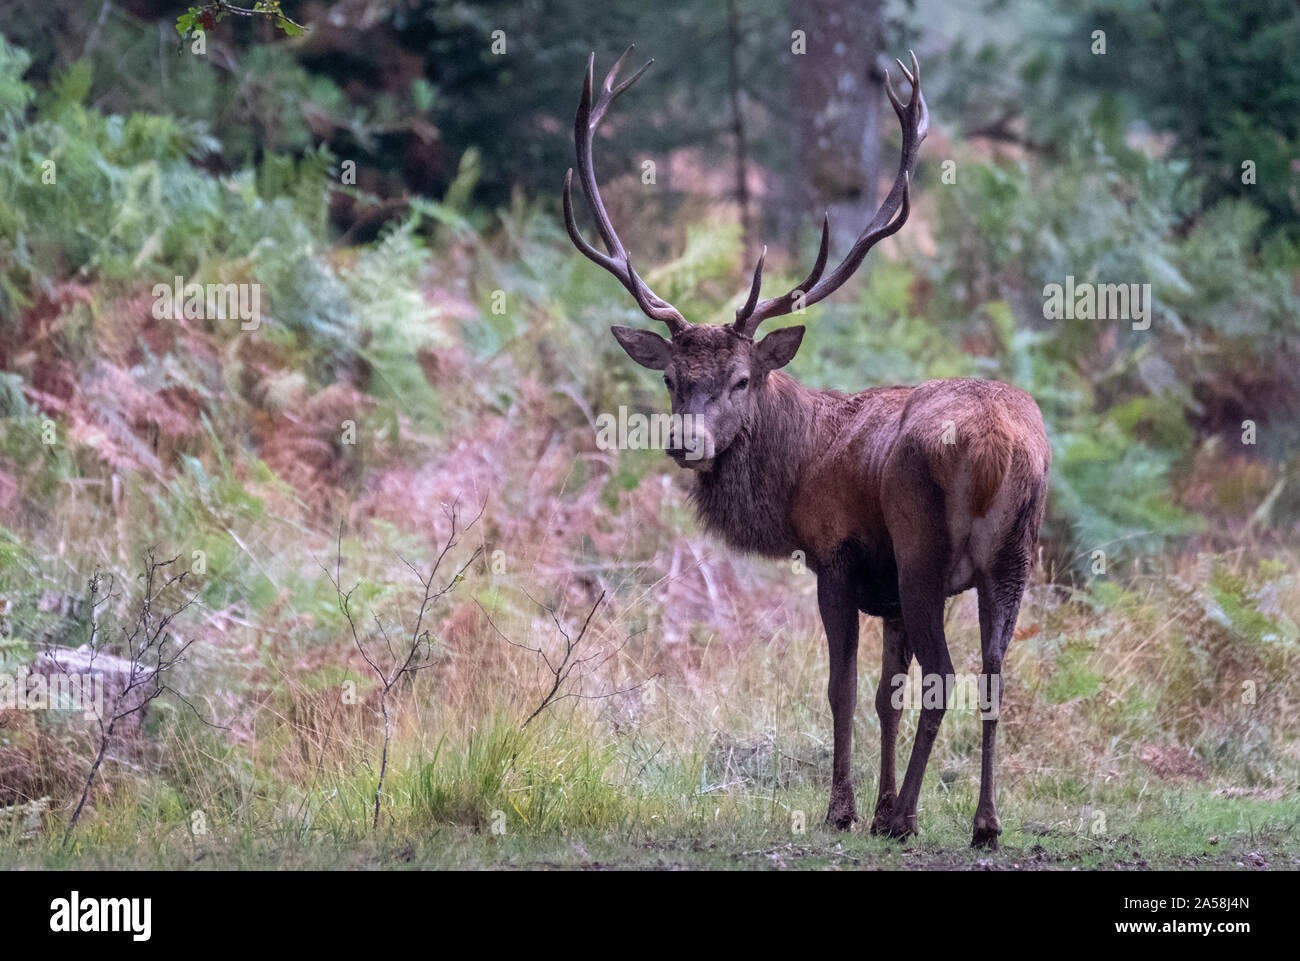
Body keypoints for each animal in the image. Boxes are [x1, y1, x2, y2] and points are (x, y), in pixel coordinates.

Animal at [562, 47, 1051, 848]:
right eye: (670, 377)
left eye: (740, 378)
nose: (685, 442)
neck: (799, 468)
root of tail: (1001, 447)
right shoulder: (887, 591)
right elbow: (886, 694)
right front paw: (876, 803)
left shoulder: (838, 554)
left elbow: (842, 687)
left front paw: (848, 810)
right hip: (1016, 555)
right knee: (995, 672)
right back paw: (984, 822)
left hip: (924, 548)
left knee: (948, 677)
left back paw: (910, 818)